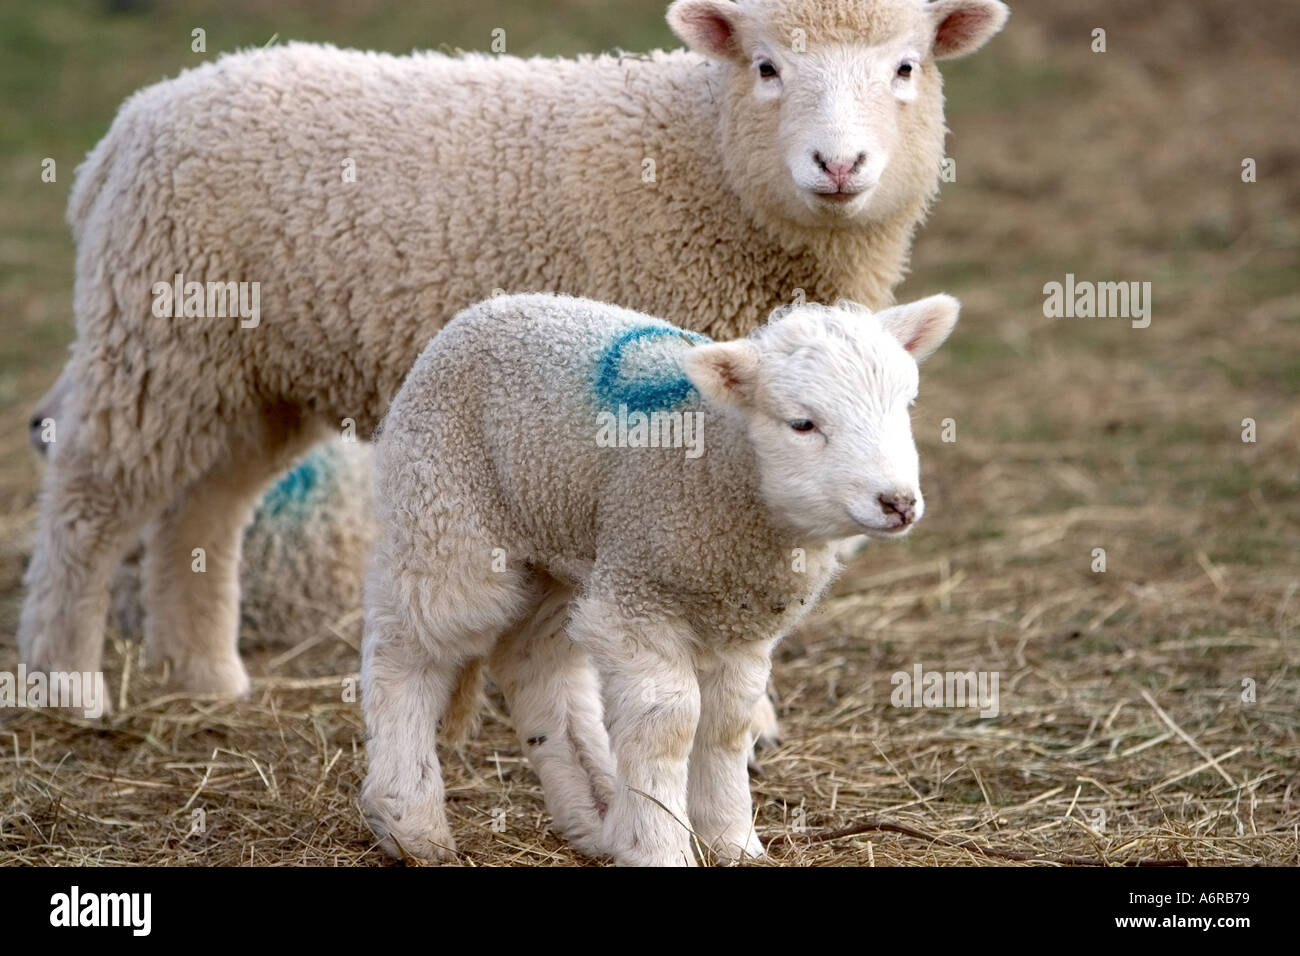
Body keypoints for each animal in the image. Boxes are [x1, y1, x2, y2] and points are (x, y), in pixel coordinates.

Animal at [19, 0, 1007, 699]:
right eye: (766, 66)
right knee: (89, 498)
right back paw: (67, 684)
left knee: (205, 514)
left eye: (906, 67)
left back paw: (206, 679)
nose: (838, 166)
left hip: (252, 372)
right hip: (156, 335)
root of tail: (130, 124)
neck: (705, 158)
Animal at [361, 290, 959, 865]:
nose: (898, 503)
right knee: (405, 649)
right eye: (802, 423)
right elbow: (668, 722)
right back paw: (409, 822)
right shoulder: (638, 599)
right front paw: (657, 845)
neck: (723, 470)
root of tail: (490, 304)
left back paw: (595, 810)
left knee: (537, 662)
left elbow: (728, 724)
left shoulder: (737, 623)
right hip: (443, 517)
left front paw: (733, 842)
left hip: (563, 547)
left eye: (905, 407)